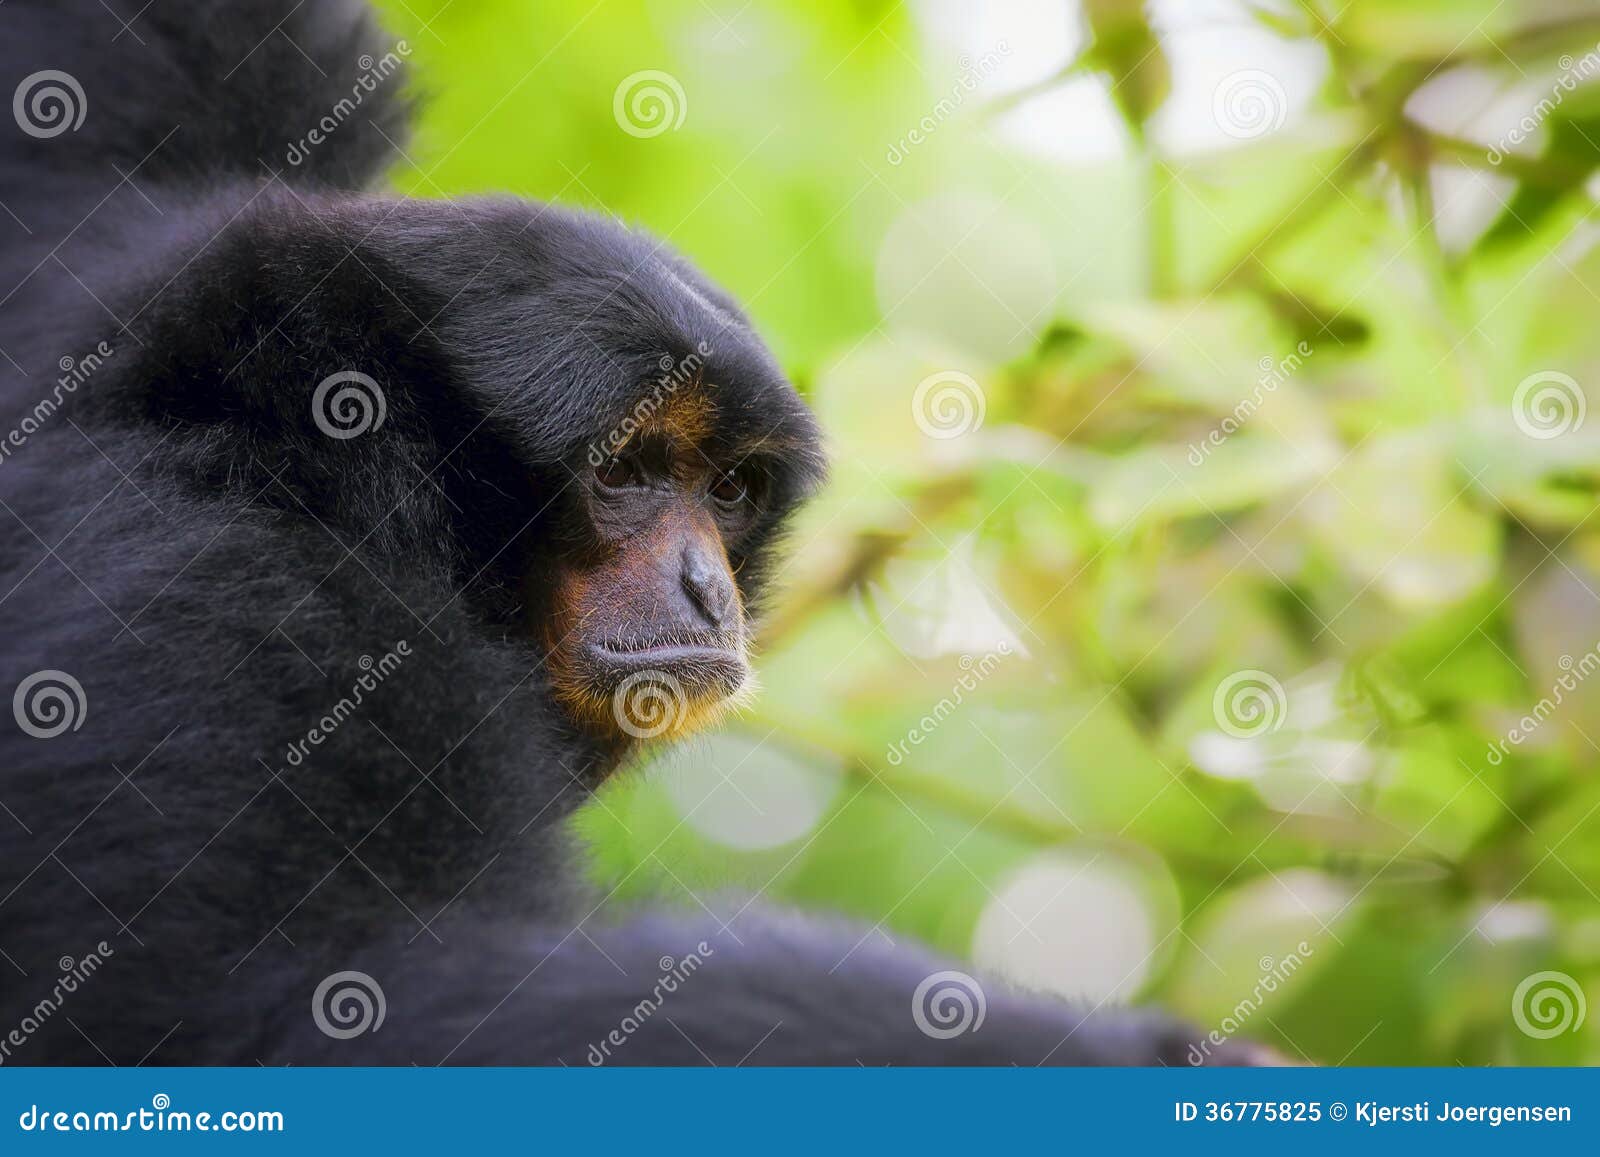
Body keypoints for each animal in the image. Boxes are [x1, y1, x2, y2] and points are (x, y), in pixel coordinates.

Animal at [0, 0, 1270, 1066]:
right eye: (629, 470)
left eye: (732, 488)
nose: (707, 589)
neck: (280, 464)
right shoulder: (229, 614)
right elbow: (309, 1010)